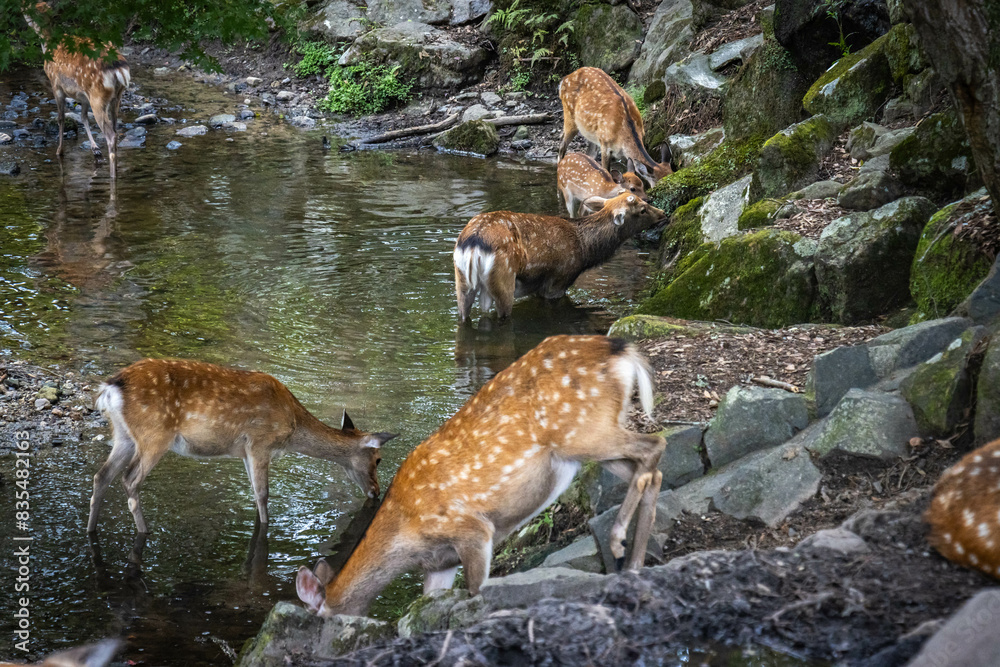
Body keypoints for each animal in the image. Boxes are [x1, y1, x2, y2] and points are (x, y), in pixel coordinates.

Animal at [23, 2, 130, 181]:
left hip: (98, 96)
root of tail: (118, 69)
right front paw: (95, 149)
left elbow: (61, 118)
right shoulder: (83, 96)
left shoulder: (56, 84)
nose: (22, 7)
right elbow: (83, 117)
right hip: (116, 97)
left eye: (33, 8)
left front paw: (59, 151)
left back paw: (112, 176)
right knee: (115, 129)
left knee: (111, 135)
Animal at [88, 358, 398, 534]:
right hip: (154, 435)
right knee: (129, 479)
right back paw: (145, 533)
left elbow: (254, 493)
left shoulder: (246, 451)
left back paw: (91, 531)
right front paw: (266, 529)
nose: (376, 490)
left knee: (101, 476)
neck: (293, 426)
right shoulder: (260, 442)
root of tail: (110, 389)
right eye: (378, 459)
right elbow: (263, 494)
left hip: (124, 436)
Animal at [296, 334, 665, 616]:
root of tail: (620, 348)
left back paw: (618, 541)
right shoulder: (440, 565)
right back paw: (634, 564)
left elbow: (477, 590)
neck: (407, 534)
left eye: (322, 619)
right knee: (651, 468)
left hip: (583, 431)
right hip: (584, 446)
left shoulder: (472, 530)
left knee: (655, 445)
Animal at [453, 191, 666, 321]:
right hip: (504, 278)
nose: (663, 213)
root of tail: (473, 242)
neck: (585, 250)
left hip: (461, 279)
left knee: (463, 315)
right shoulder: (559, 279)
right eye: (642, 210)